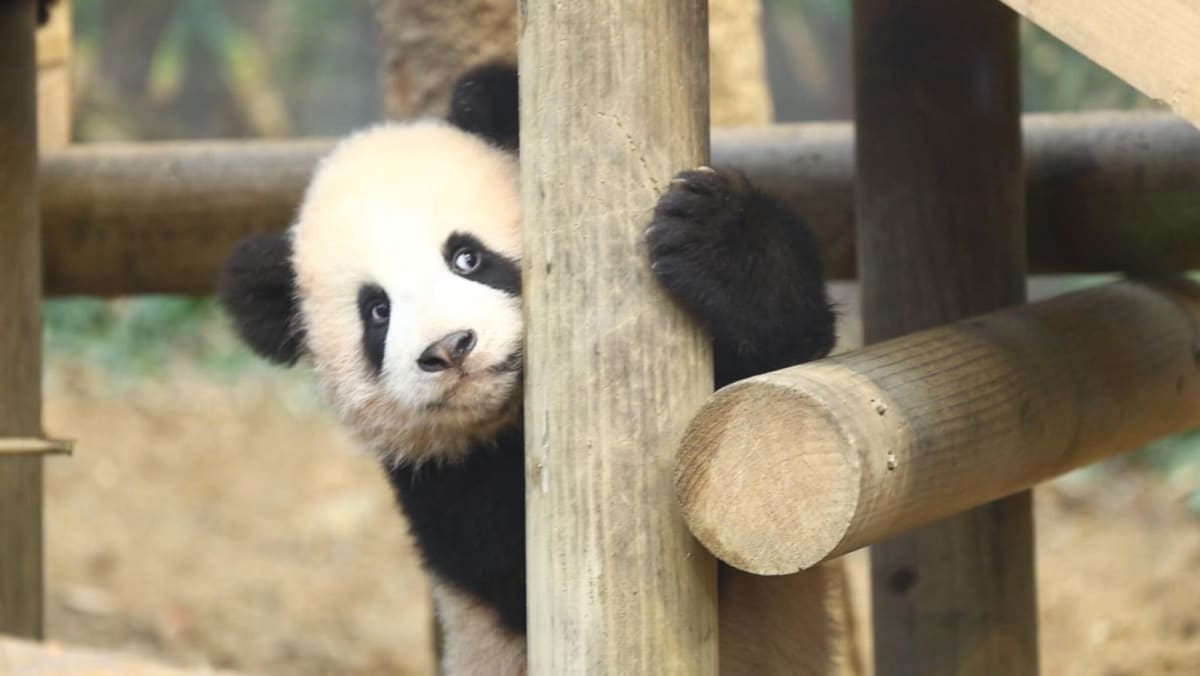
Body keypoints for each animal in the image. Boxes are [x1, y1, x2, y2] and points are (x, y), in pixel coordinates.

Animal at [219, 63, 849, 675]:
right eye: (378, 311)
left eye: (467, 257)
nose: (450, 347)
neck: (508, 419)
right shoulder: (441, 488)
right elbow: (523, 566)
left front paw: (712, 233)